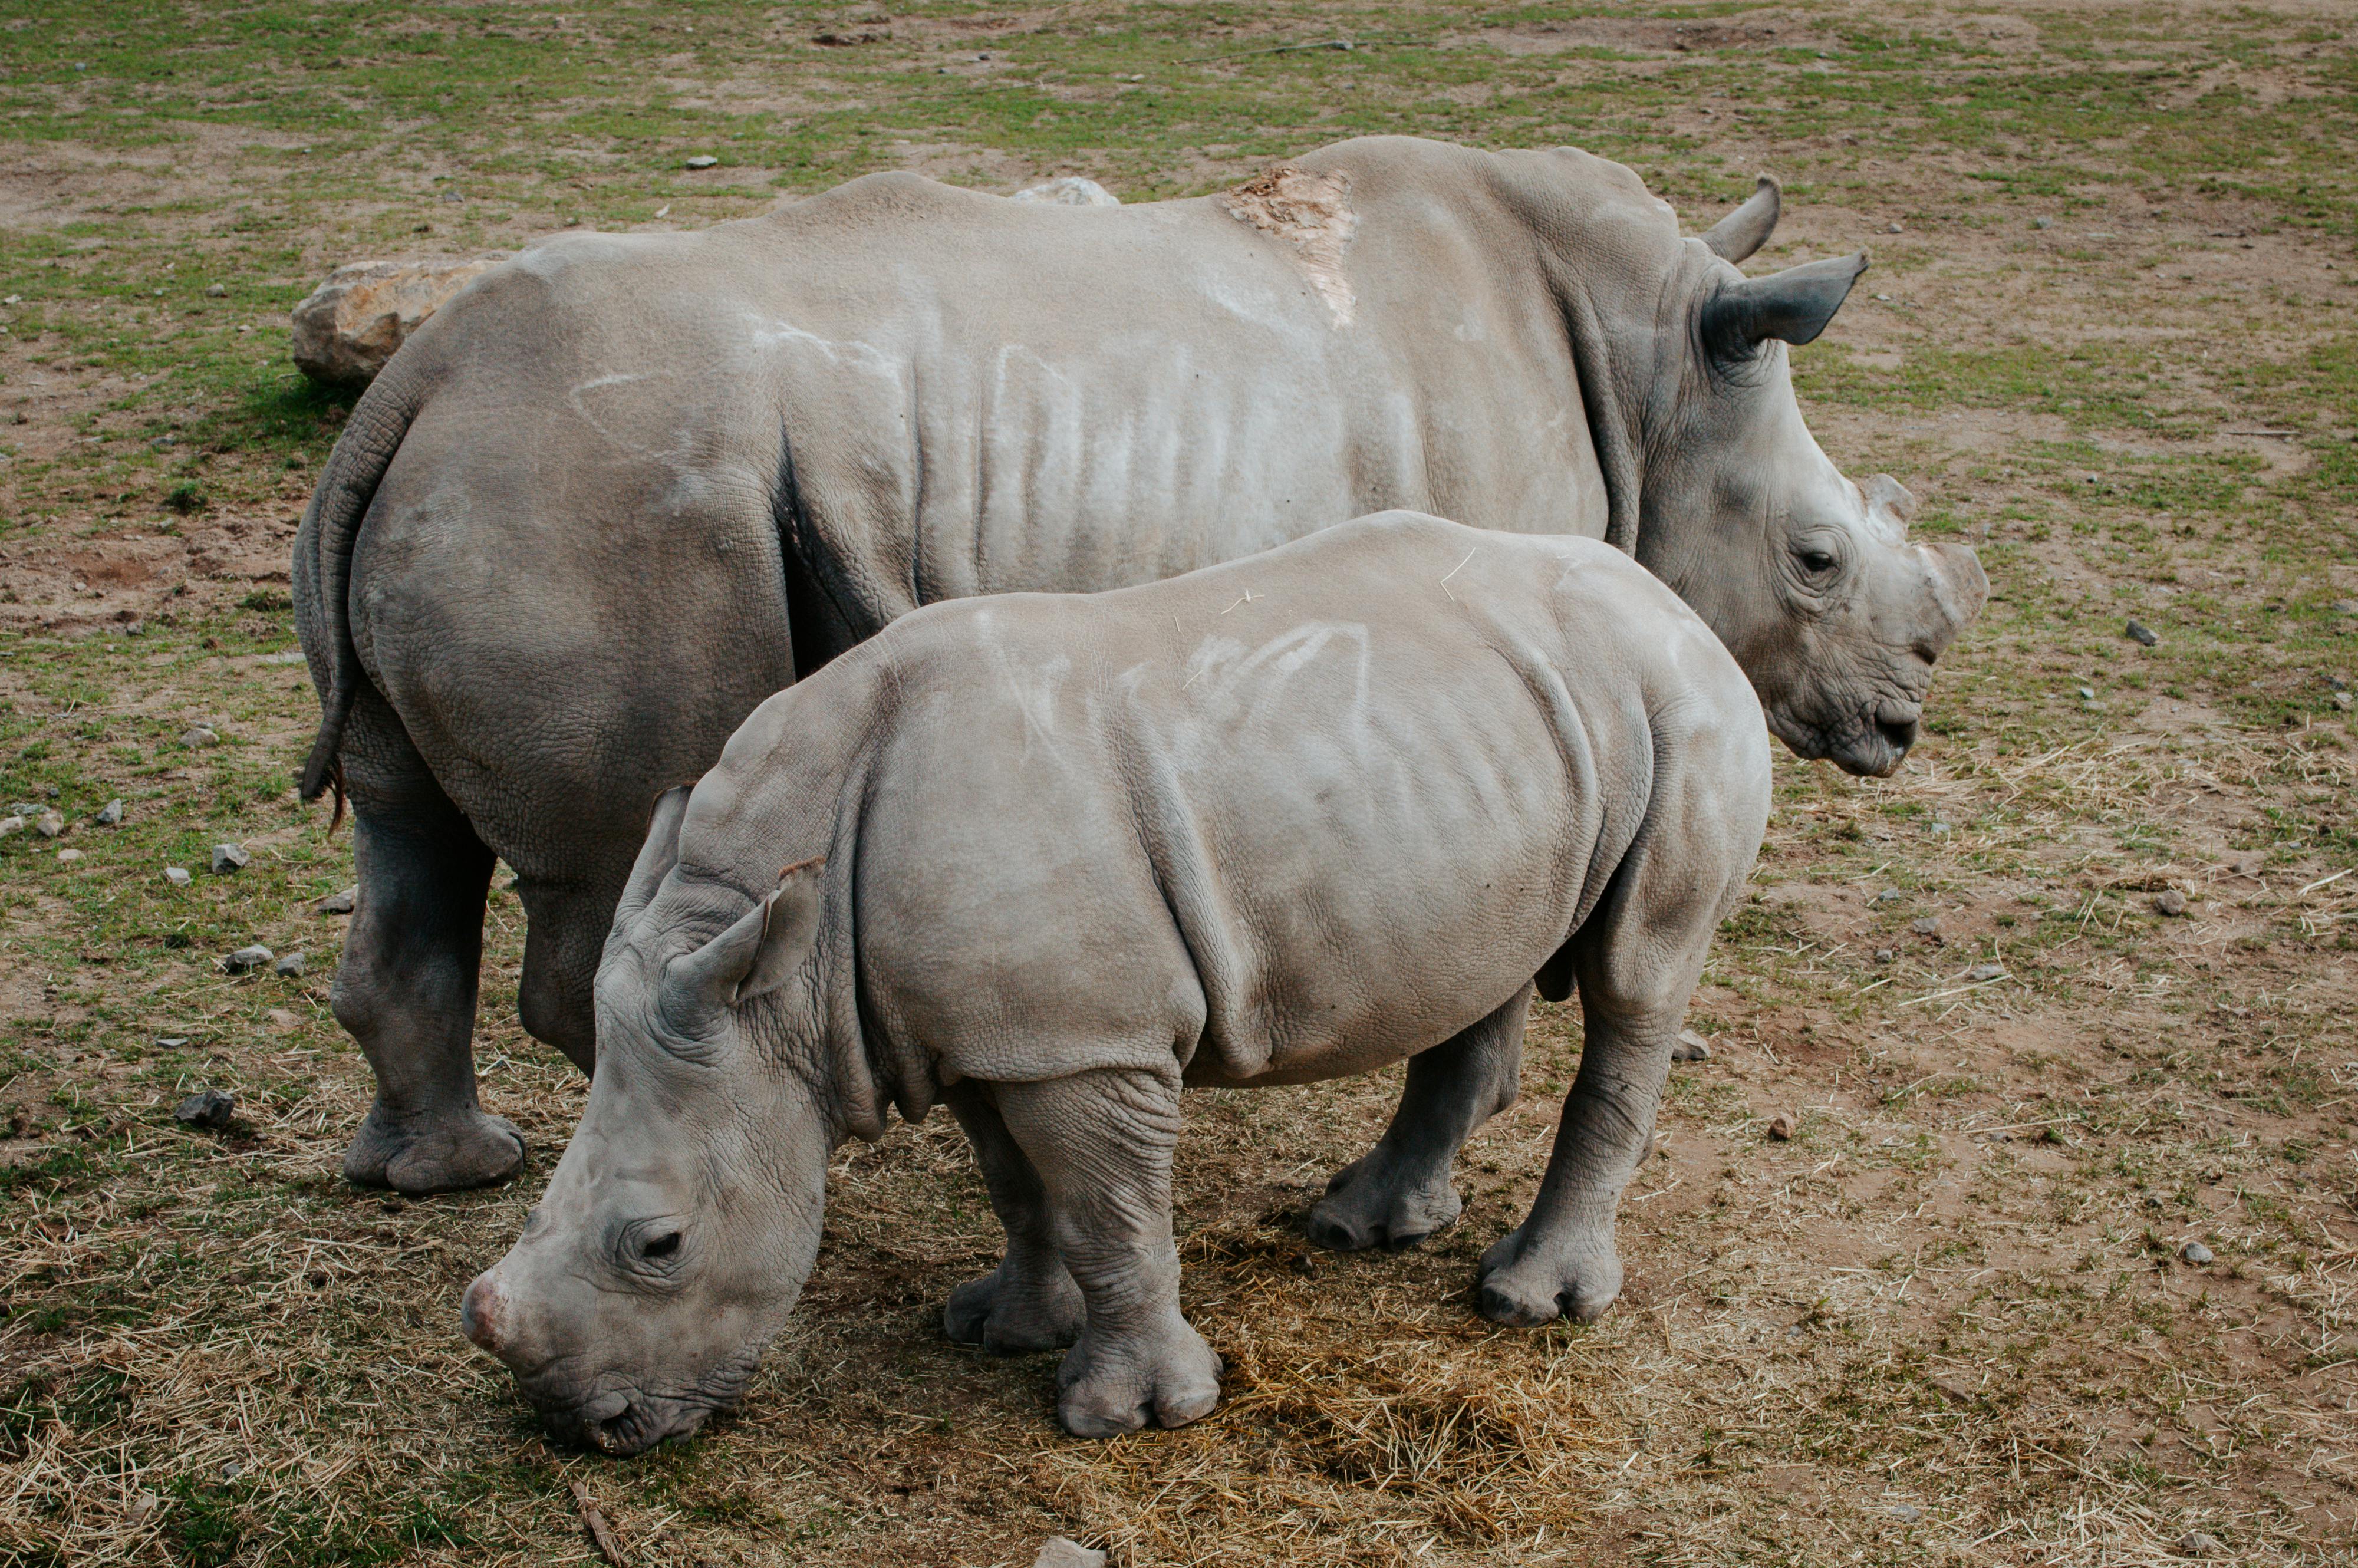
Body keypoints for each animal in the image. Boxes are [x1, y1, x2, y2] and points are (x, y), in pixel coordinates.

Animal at [293, 135, 1985, 1203]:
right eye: (1815, 559)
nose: (1898, 724)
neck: (1652, 375)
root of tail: (416, 379)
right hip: (615, 498)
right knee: (600, 867)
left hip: (501, 482)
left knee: (409, 833)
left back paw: (445, 1172)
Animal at [460, 513, 1775, 1447]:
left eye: (661, 1246)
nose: (579, 1431)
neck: (789, 984)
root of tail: (1674, 598)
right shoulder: (991, 1029)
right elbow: (1021, 1187)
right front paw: (1000, 1328)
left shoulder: (1085, 1041)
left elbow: (1110, 1208)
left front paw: (1130, 1417)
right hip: (1508, 734)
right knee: (1484, 963)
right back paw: (1361, 1226)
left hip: (1687, 709)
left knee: (1636, 977)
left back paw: (1528, 1302)